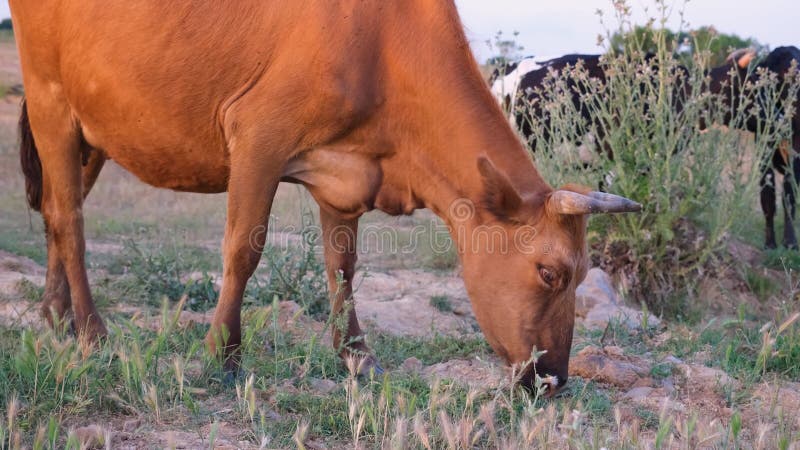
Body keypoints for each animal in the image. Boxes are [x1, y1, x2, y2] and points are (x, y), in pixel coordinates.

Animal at [10, 0, 641, 393]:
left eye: (582, 277)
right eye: (550, 273)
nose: (553, 379)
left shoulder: (348, 174)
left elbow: (342, 265)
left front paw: (357, 356)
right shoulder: (258, 135)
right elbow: (244, 248)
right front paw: (222, 354)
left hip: (92, 130)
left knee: (57, 213)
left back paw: (55, 314)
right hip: (49, 100)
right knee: (69, 217)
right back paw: (91, 332)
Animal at [709, 47, 800, 249]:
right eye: (777, 71)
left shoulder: (796, 161)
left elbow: (789, 198)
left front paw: (790, 242)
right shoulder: (764, 157)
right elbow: (768, 198)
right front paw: (770, 243)